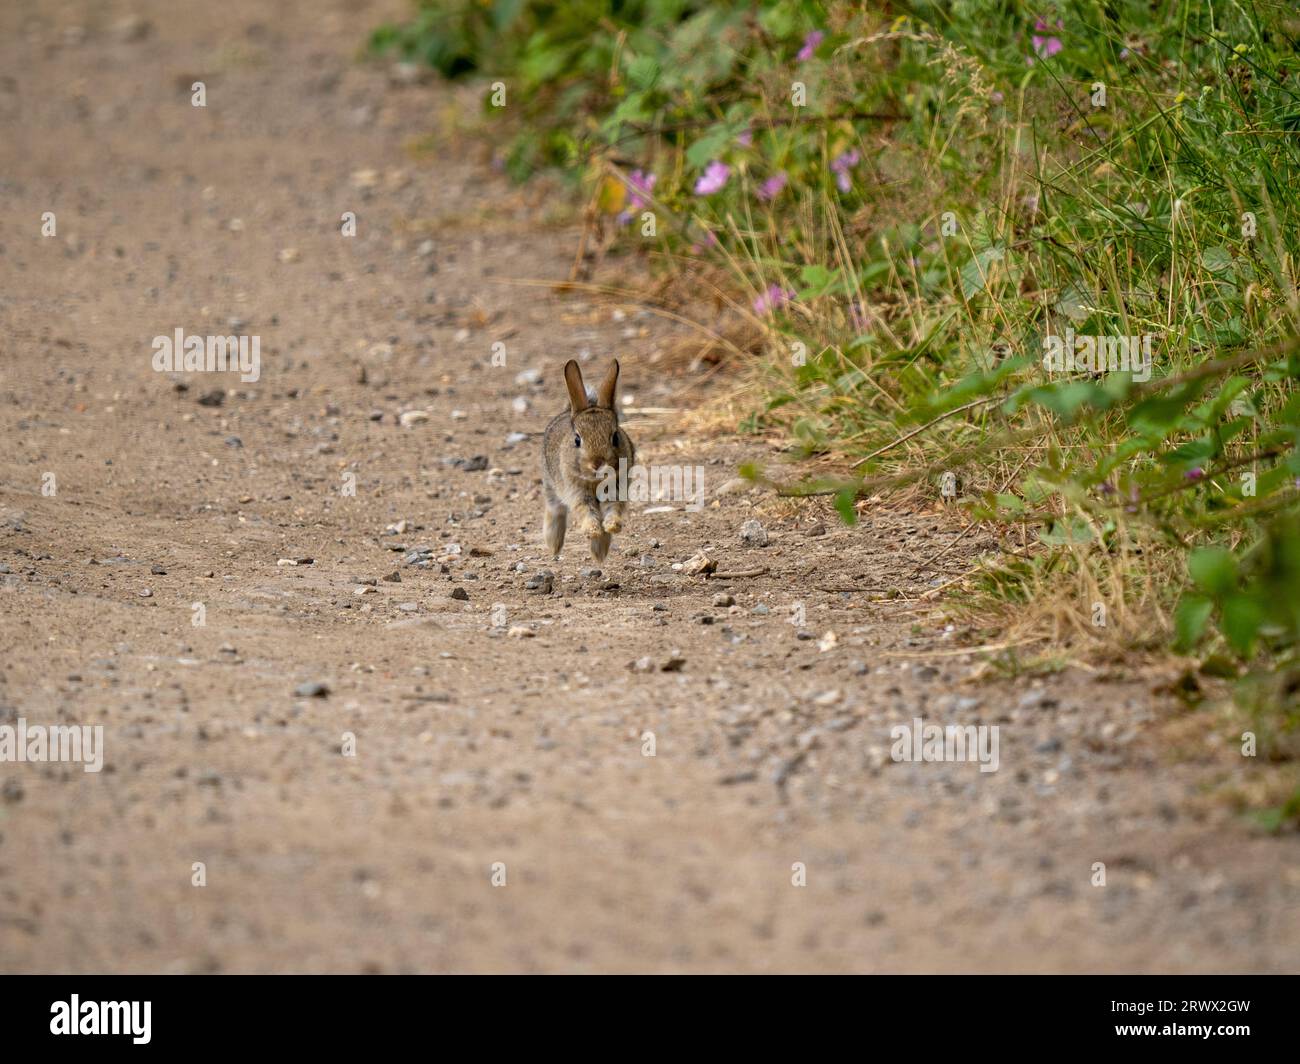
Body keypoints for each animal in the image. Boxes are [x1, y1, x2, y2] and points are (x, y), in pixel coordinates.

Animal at [542, 358, 635, 563]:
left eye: (615, 437)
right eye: (577, 439)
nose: (598, 464)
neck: (595, 481)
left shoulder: (617, 490)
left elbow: (613, 510)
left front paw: (612, 526)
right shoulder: (577, 493)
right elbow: (586, 511)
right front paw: (593, 530)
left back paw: (599, 554)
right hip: (550, 484)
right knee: (555, 510)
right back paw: (554, 546)